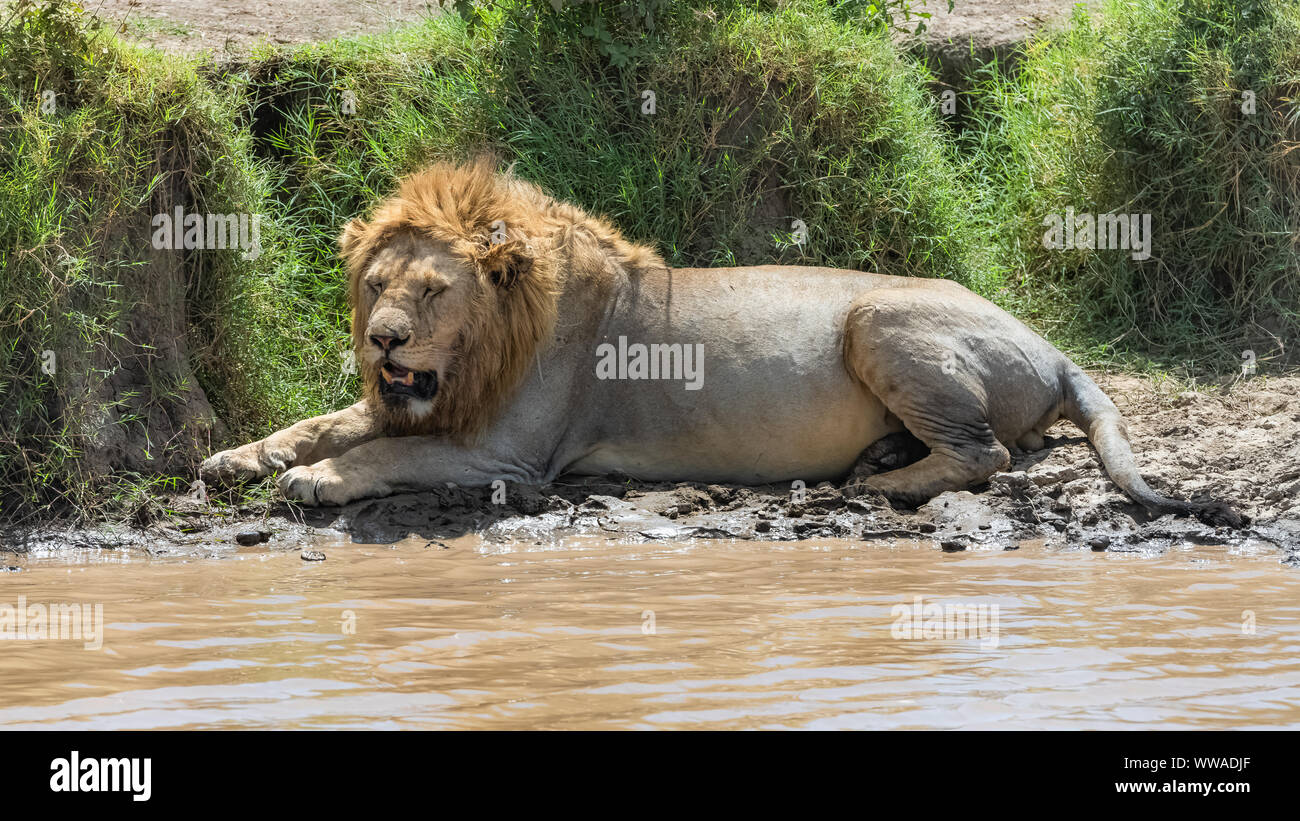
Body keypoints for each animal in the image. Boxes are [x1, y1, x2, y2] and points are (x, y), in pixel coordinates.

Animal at [200, 159, 1241, 528]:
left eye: (430, 291)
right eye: (376, 285)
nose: (382, 341)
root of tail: (1053, 346)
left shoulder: (508, 454)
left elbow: (381, 452)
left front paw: (316, 481)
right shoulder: (428, 405)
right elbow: (322, 420)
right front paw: (235, 457)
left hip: (877, 316)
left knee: (986, 453)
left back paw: (879, 481)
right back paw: (884, 457)